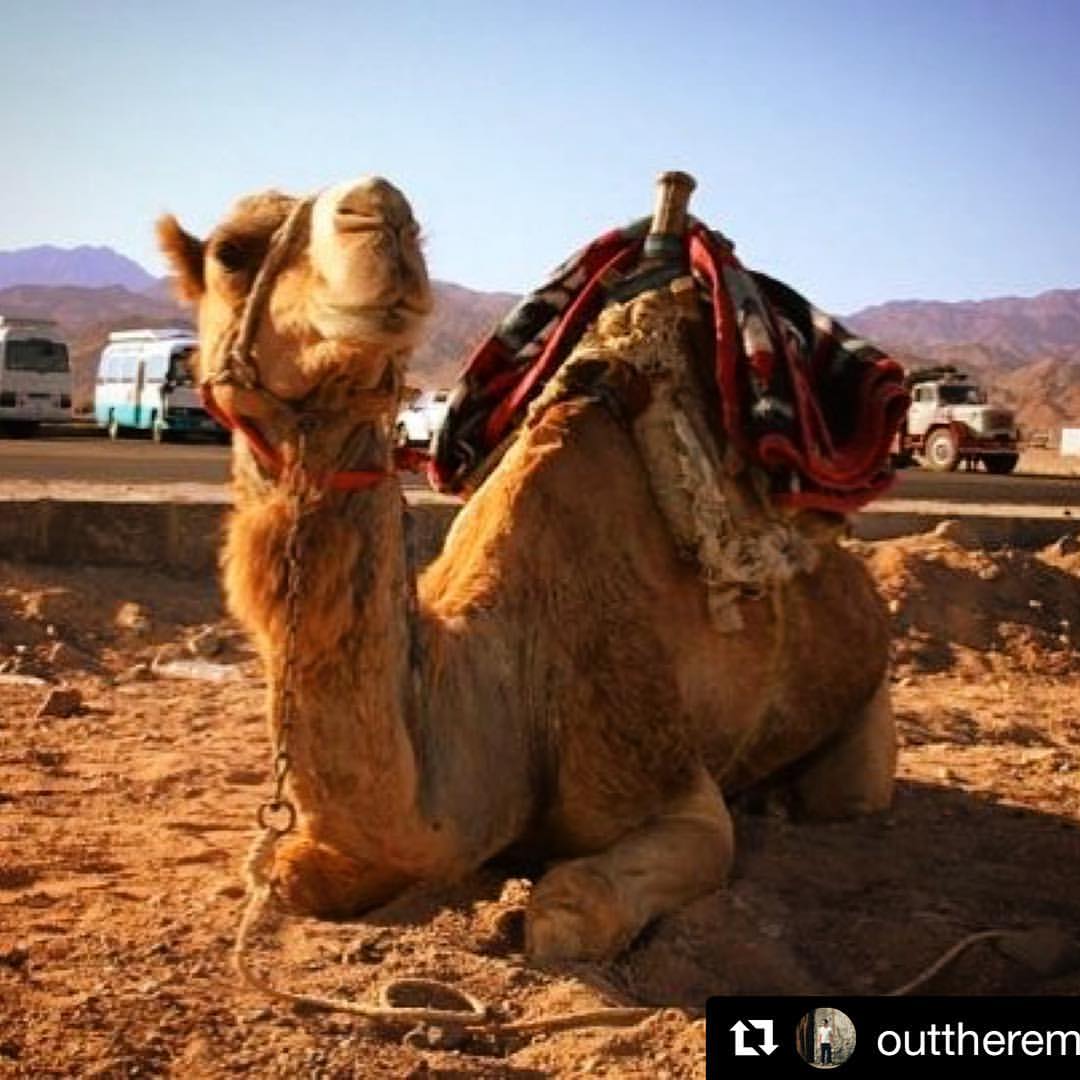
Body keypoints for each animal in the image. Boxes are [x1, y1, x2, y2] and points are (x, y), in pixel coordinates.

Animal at [157, 175, 895, 962]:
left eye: (417, 230)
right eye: (232, 252)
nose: (383, 211)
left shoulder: (674, 787)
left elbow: (570, 911)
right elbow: (293, 876)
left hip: (865, 710)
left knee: (847, 792)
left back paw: (782, 801)